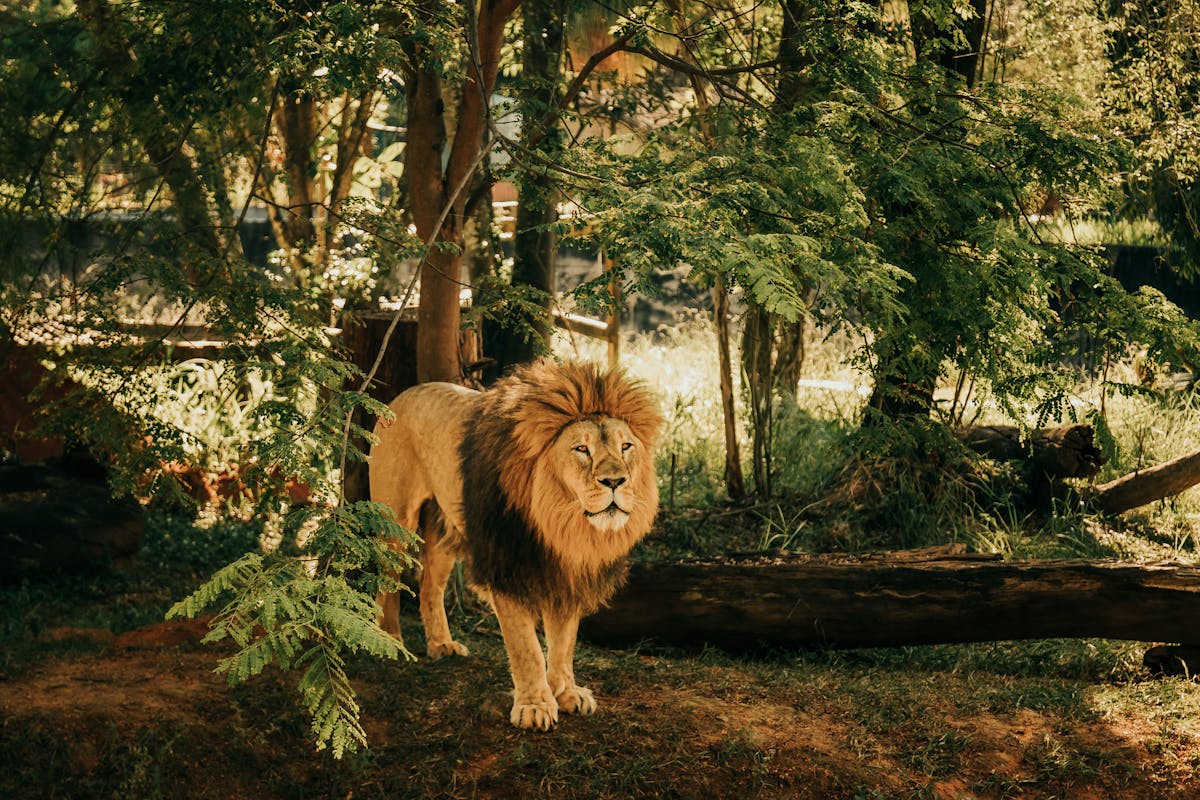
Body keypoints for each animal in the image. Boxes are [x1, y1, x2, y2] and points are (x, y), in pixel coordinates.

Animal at [370, 359, 663, 730]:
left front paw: (566, 692)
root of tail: (403, 394)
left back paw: (441, 645)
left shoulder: (568, 573)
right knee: (388, 578)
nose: (615, 481)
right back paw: (389, 639)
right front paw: (535, 706)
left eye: (626, 447)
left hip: (443, 528)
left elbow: (564, 641)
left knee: (429, 587)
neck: (560, 525)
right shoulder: (505, 568)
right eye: (581, 449)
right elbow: (527, 647)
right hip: (396, 517)